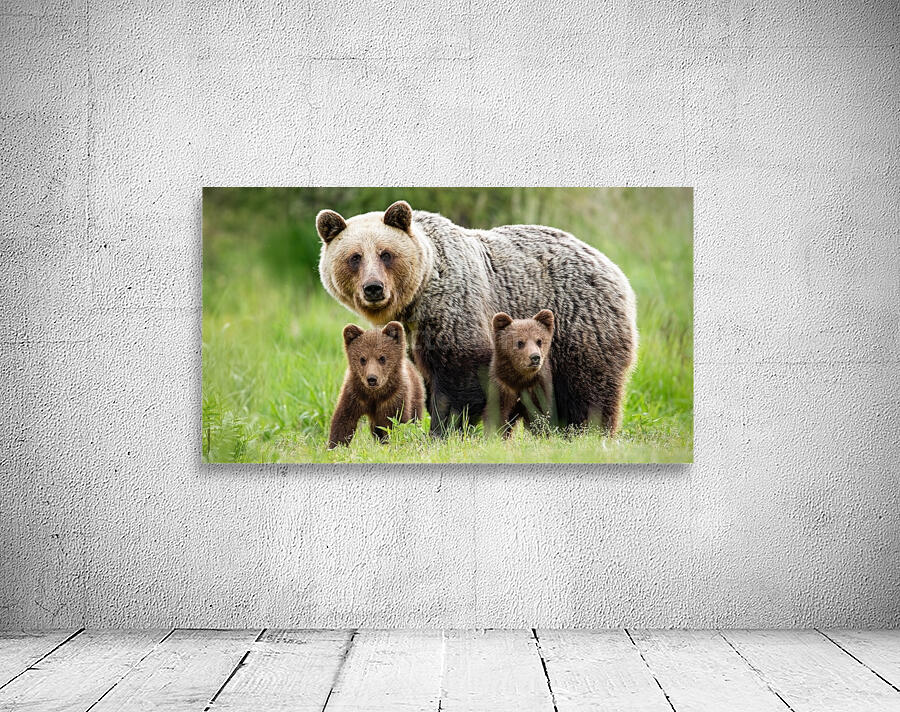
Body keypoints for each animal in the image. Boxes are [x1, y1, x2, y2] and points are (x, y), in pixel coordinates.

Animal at [486, 310, 555, 438]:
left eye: (539, 341)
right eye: (520, 342)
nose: (535, 357)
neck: (520, 380)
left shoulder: (536, 388)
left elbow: (540, 415)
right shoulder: (503, 387)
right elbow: (497, 415)